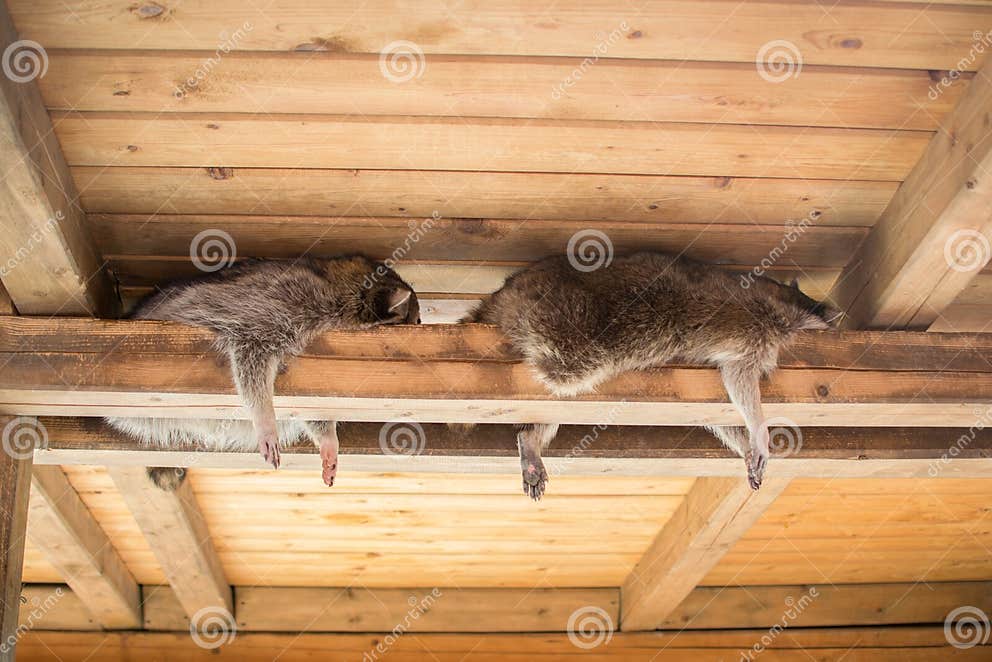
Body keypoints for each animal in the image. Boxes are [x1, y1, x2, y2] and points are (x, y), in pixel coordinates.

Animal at [106, 256, 420, 490]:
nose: (421, 322)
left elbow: (313, 413)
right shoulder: (282, 300)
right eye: (416, 319)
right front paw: (264, 414)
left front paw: (328, 437)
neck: (336, 282)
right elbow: (249, 351)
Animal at [468, 251, 839, 499]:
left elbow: (724, 403)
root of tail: (507, 290)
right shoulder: (753, 329)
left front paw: (746, 443)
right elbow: (740, 381)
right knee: (565, 367)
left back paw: (531, 438)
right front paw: (758, 431)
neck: (779, 302)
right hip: (564, 321)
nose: (835, 315)